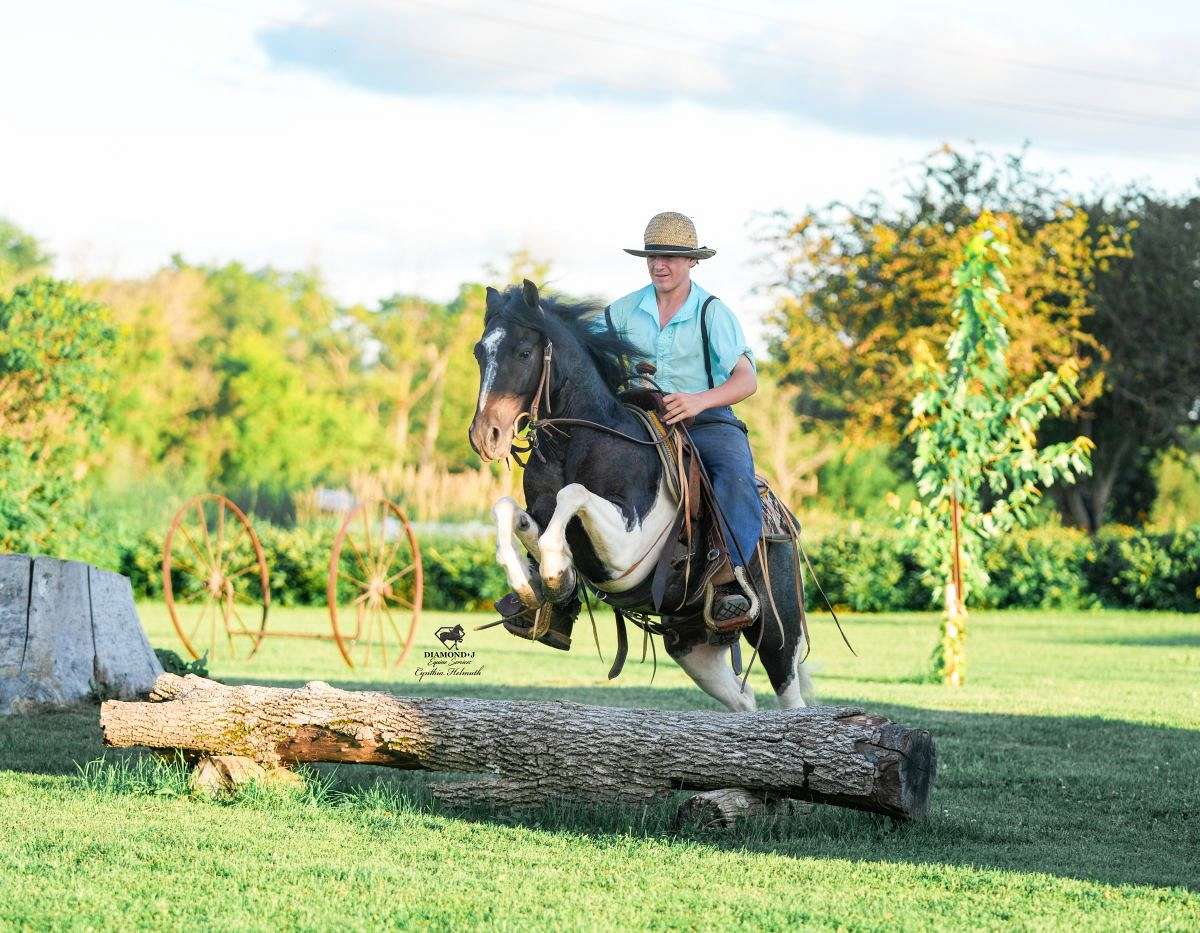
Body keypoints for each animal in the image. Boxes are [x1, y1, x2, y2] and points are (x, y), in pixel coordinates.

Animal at [468, 280, 812, 712]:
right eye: (480, 352)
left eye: (524, 352)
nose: (486, 436)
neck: (577, 444)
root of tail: (780, 518)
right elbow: (509, 511)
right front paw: (538, 583)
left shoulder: (628, 552)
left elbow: (573, 495)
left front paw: (555, 572)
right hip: (692, 645)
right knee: (744, 700)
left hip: (778, 631)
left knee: (790, 694)